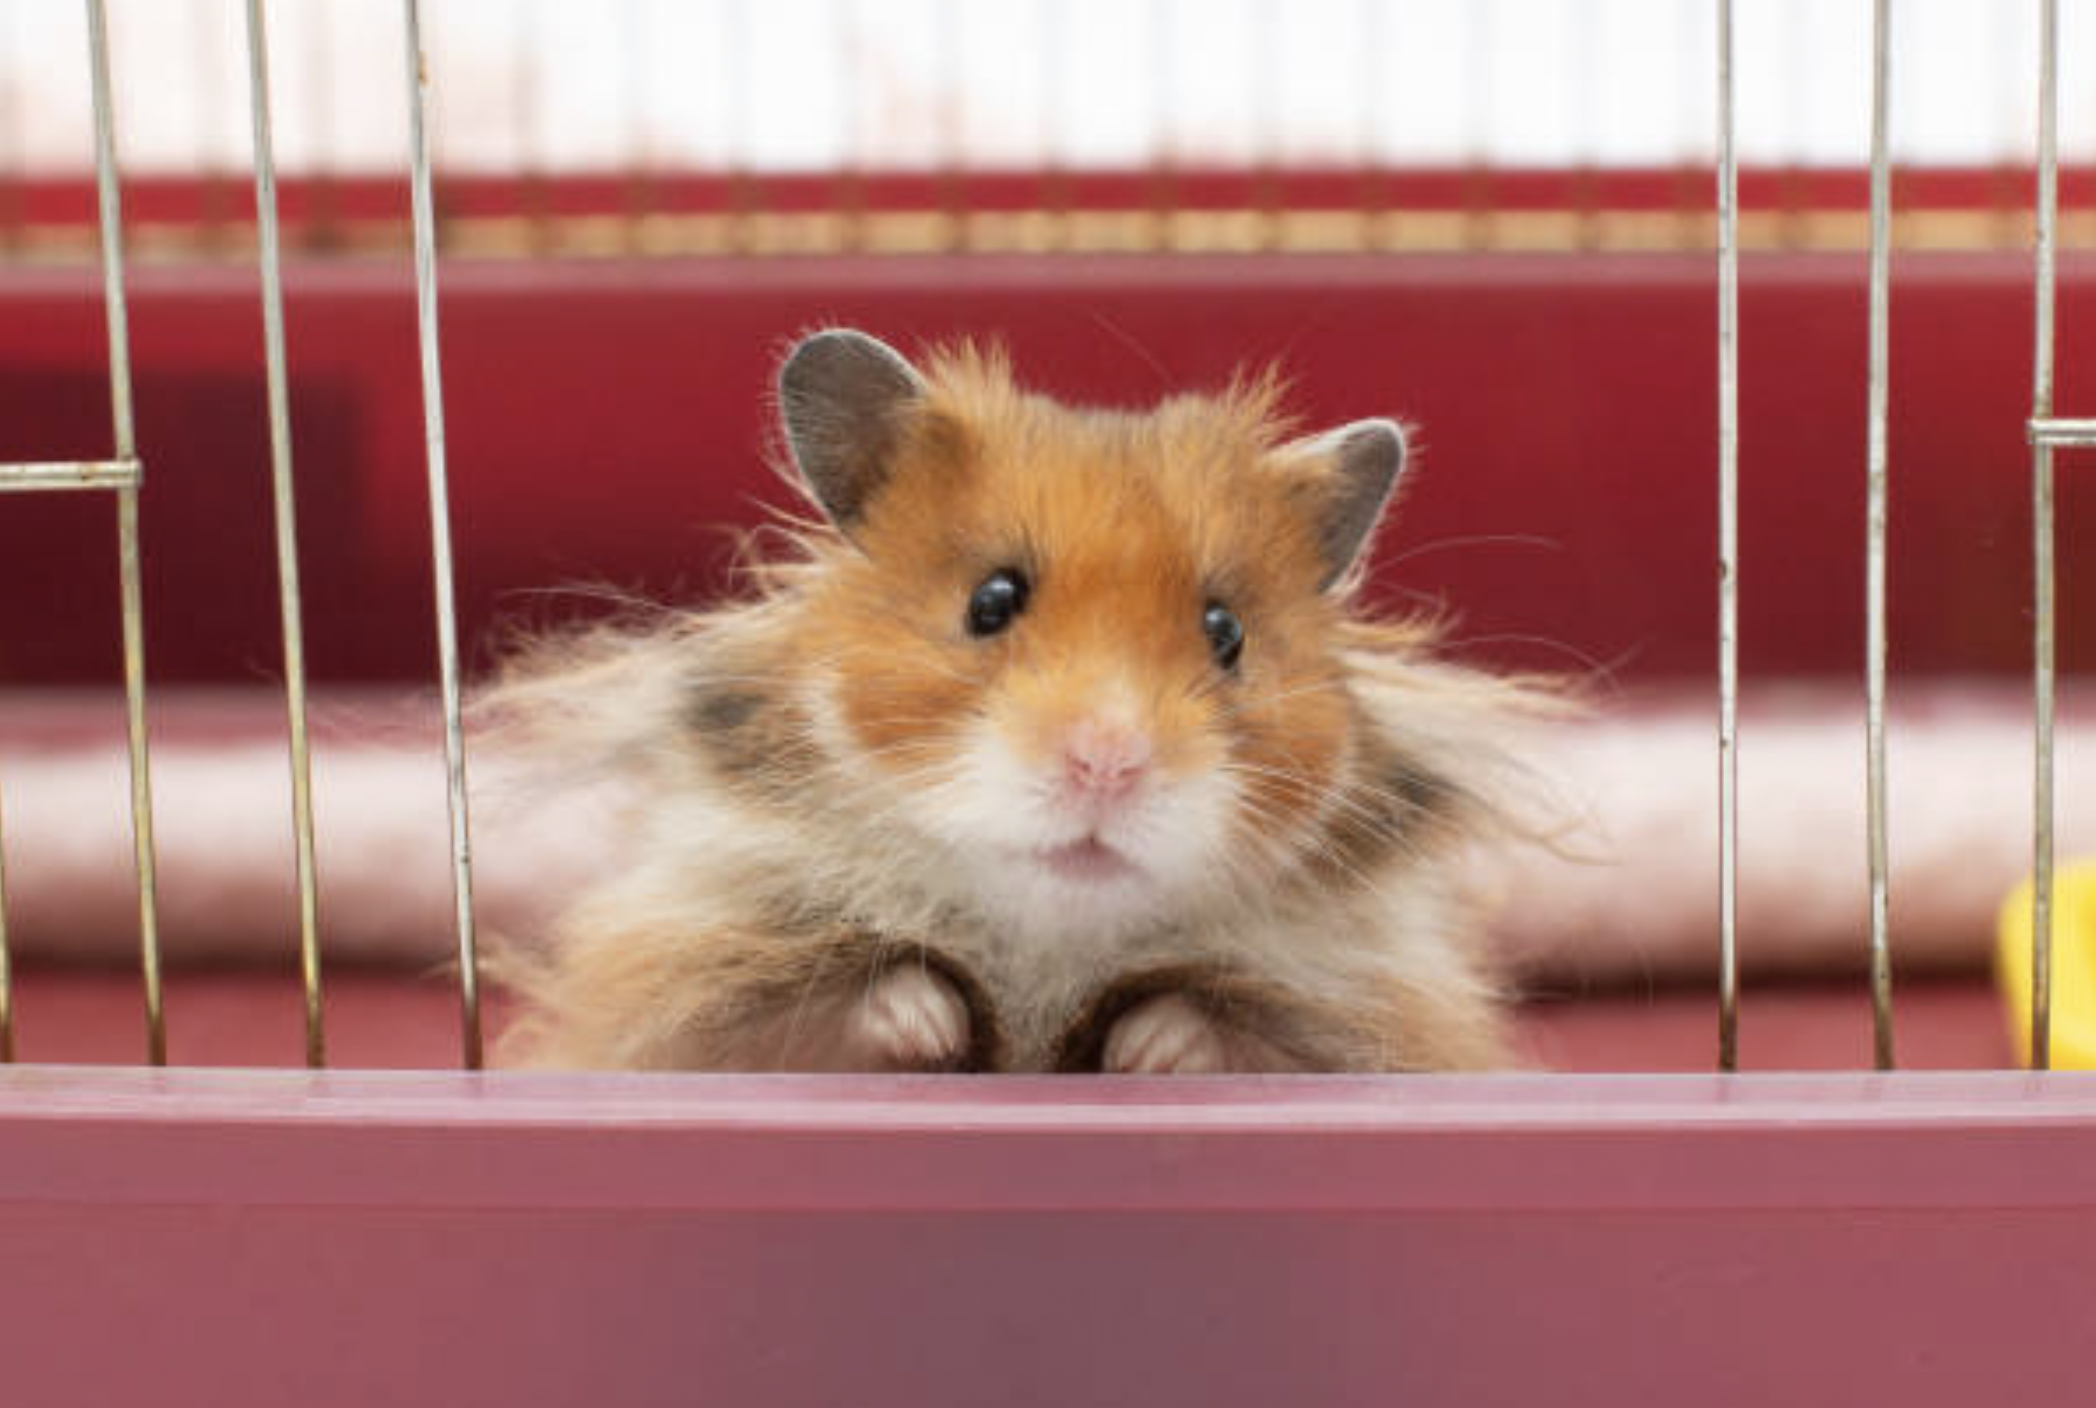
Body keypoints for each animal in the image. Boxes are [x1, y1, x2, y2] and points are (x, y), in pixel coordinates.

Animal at [485, 329, 1550, 1074]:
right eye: (990, 601)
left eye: (1228, 634)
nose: (1108, 762)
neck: (1045, 947)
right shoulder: (688, 987)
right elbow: (847, 1011)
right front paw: (921, 1018)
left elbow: (1219, 1031)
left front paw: (1152, 1048)